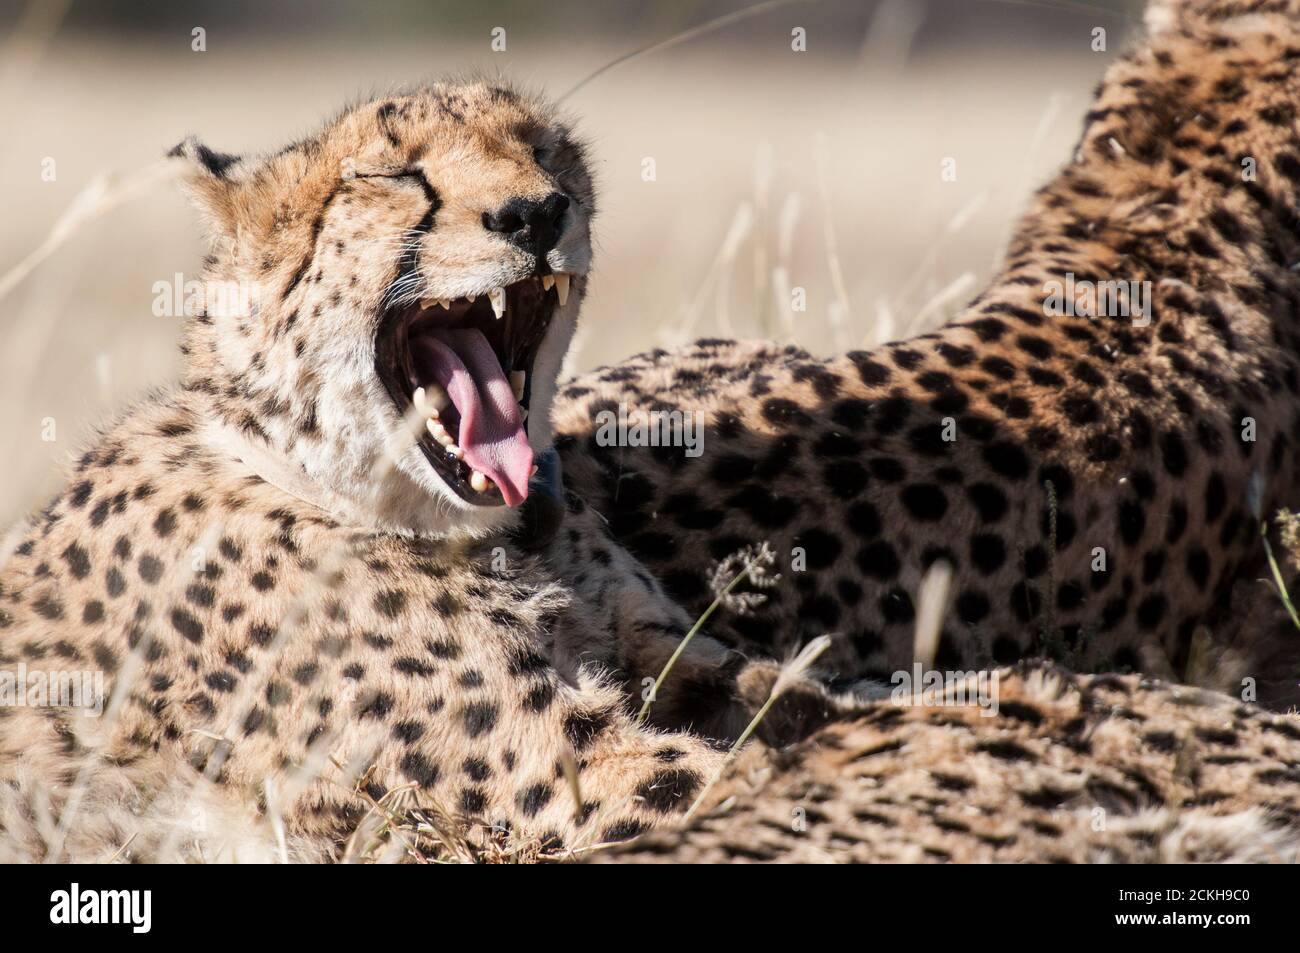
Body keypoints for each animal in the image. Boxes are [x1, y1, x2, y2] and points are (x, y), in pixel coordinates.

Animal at [0, 81, 838, 863]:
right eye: (396, 175)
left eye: (545, 148)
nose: (535, 214)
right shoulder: (568, 774)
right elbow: (751, 775)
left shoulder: (667, 654)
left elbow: (801, 699)